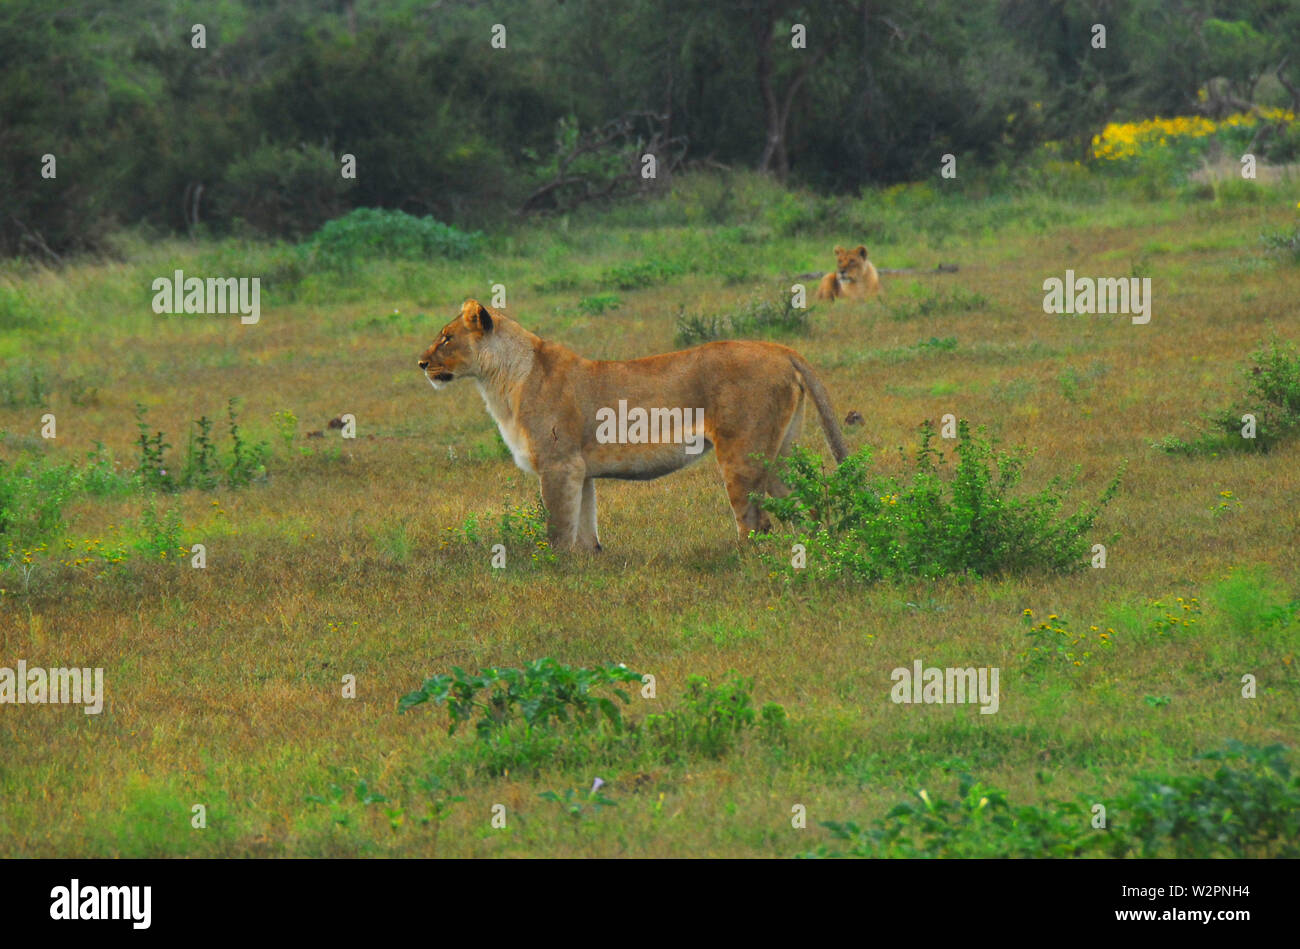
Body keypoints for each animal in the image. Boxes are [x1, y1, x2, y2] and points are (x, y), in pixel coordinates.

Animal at [418, 300, 848, 551]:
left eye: (446, 338)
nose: (421, 363)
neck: (502, 380)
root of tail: (781, 348)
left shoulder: (559, 464)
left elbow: (557, 531)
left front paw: (553, 577)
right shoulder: (579, 470)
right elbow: (584, 530)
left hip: (742, 455)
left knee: (757, 521)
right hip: (778, 452)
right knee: (806, 505)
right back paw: (812, 552)